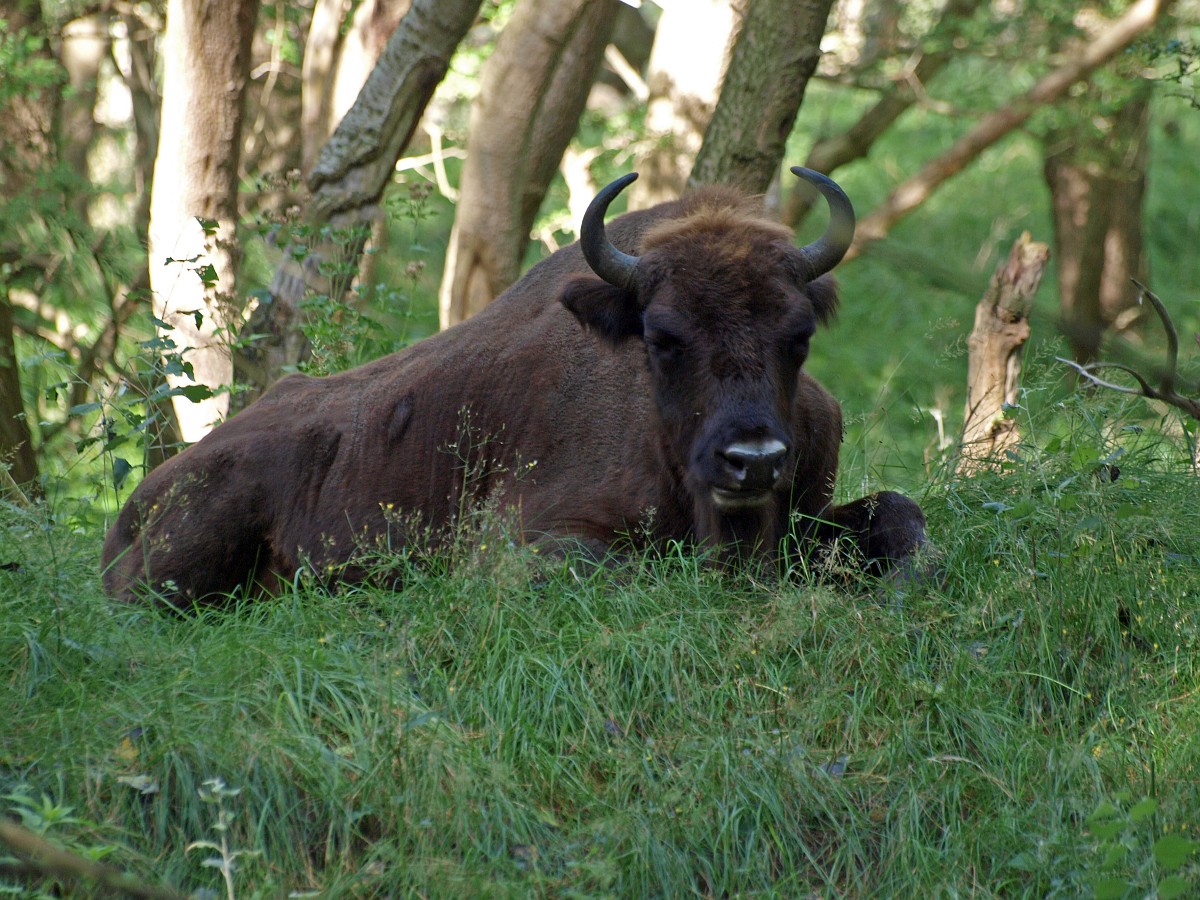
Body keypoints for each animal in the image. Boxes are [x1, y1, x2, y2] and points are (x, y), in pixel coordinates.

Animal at [103, 167, 926, 607]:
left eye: (799, 335)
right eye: (662, 337)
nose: (752, 460)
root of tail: (139, 500)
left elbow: (900, 514)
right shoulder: (521, 545)